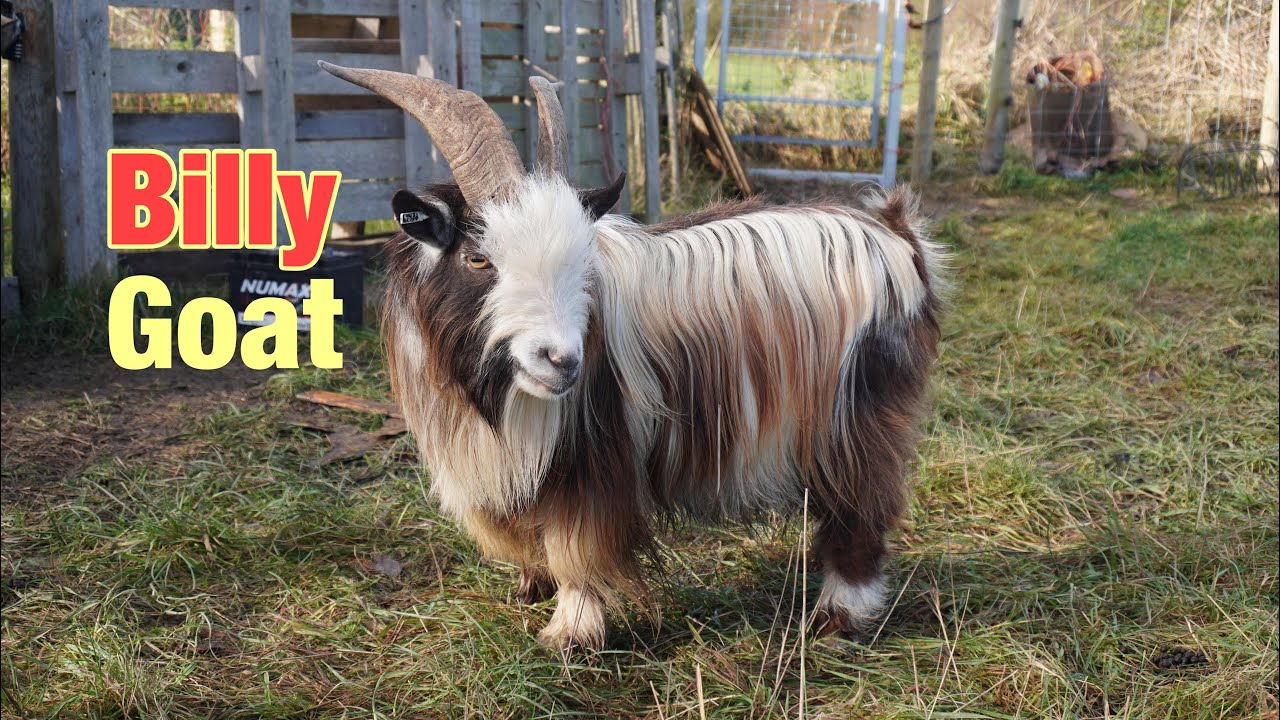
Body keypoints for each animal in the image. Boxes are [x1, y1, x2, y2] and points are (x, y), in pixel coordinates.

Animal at [319, 61, 946, 651]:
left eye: (582, 256)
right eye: (478, 257)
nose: (563, 362)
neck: (487, 388)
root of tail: (895, 233)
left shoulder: (593, 456)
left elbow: (576, 543)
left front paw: (571, 631)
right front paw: (530, 587)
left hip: (854, 413)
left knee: (863, 503)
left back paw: (839, 616)